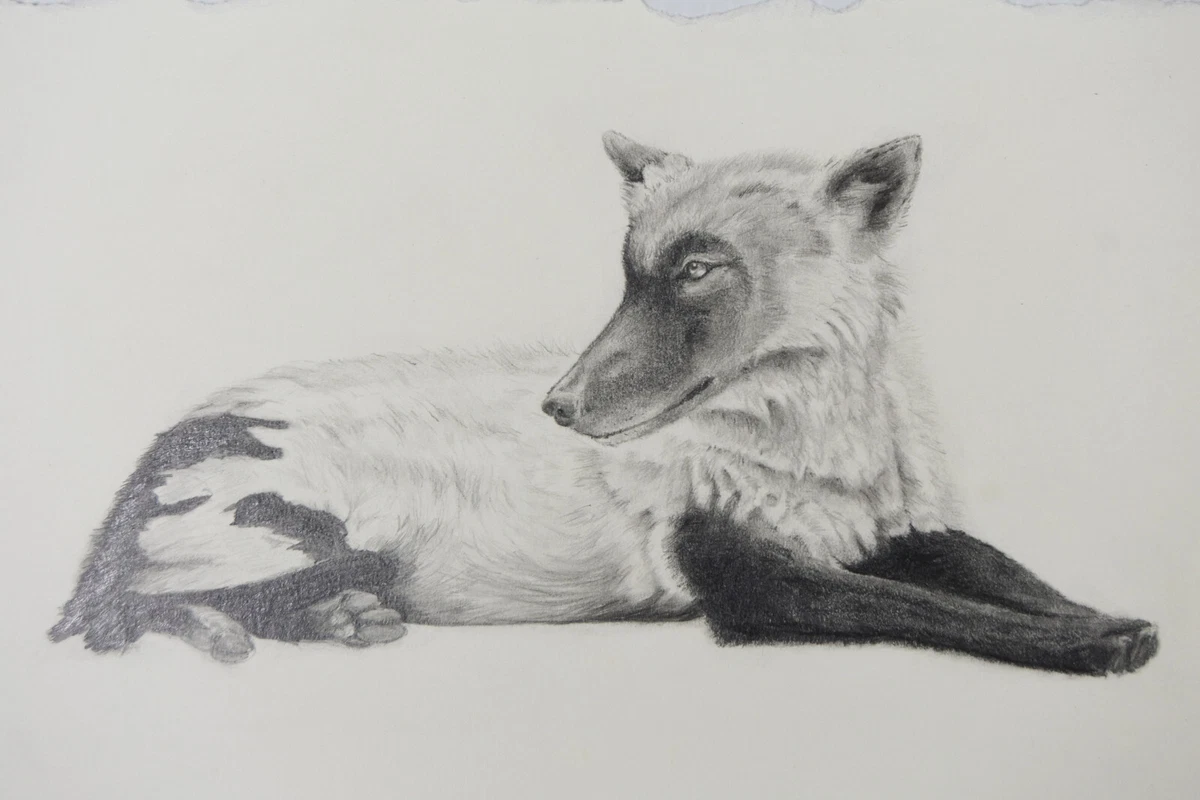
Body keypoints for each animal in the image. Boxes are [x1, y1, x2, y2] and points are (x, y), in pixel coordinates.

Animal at [50, 131, 1158, 675]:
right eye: (626, 275)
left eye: (698, 270)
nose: (557, 406)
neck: (808, 437)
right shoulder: (750, 576)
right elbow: (924, 606)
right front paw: (1095, 644)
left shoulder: (887, 526)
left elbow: (995, 572)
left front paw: (1098, 616)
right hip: (308, 532)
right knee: (126, 608)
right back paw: (306, 619)